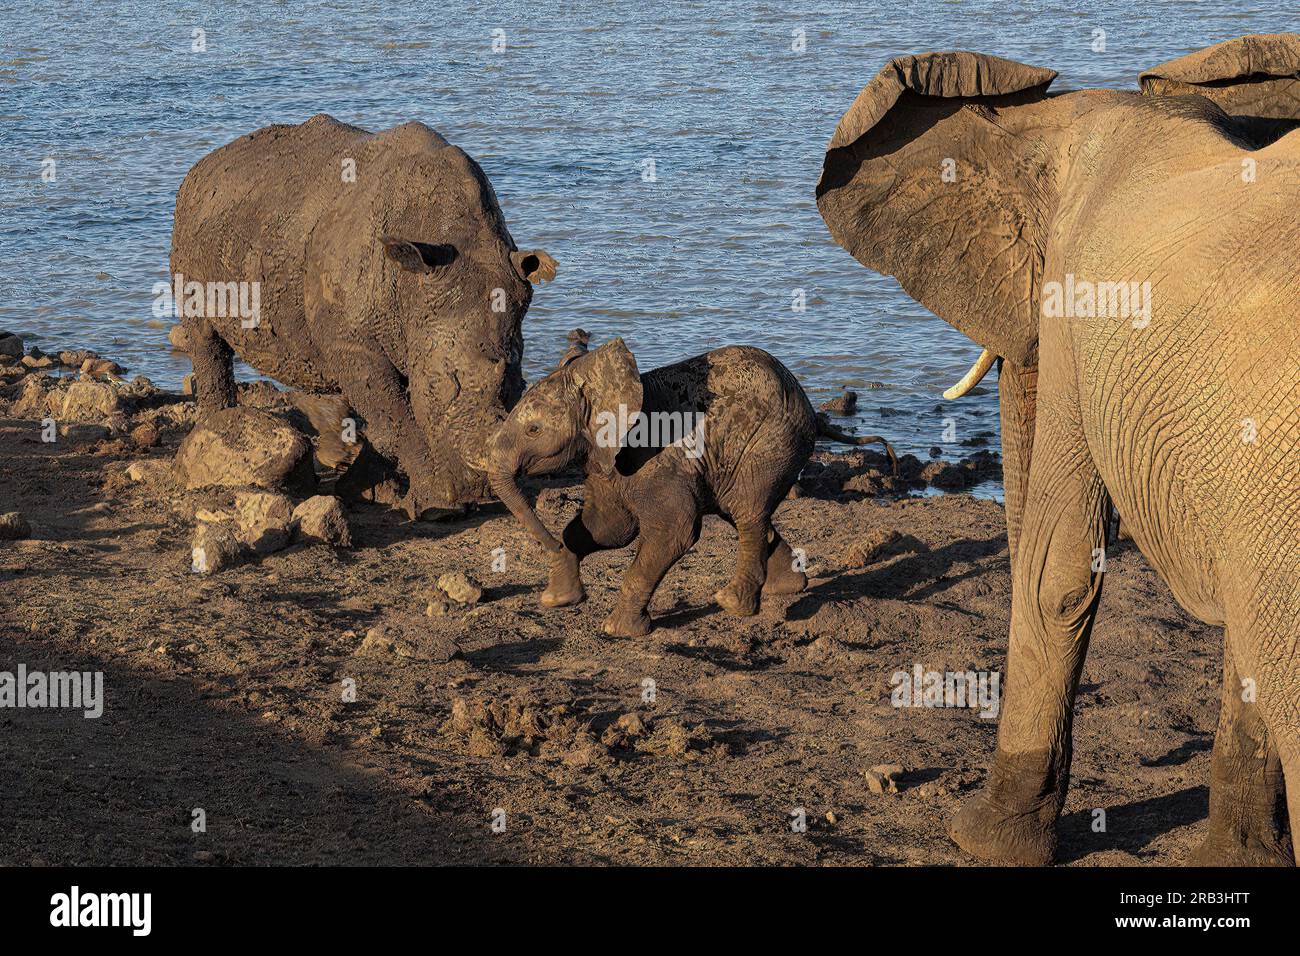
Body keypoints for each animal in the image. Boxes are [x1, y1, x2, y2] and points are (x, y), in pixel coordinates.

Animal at [170, 114, 556, 516]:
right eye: (440, 388)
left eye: (516, 385)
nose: (480, 490)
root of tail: (203, 166)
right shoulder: (356, 341)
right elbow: (395, 420)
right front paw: (439, 504)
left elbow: (384, 415)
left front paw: (375, 491)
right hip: (191, 225)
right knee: (205, 339)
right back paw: (214, 435)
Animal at [485, 339, 898, 637]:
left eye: (533, 429)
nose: (550, 543)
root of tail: (811, 408)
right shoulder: (607, 462)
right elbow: (607, 529)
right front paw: (559, 599)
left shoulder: (657, 462)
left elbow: (674, 532)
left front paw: (618, 630)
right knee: (742, 513)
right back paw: (788, 587)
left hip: (769, 444)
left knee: (748, 514)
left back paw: (733, 603)